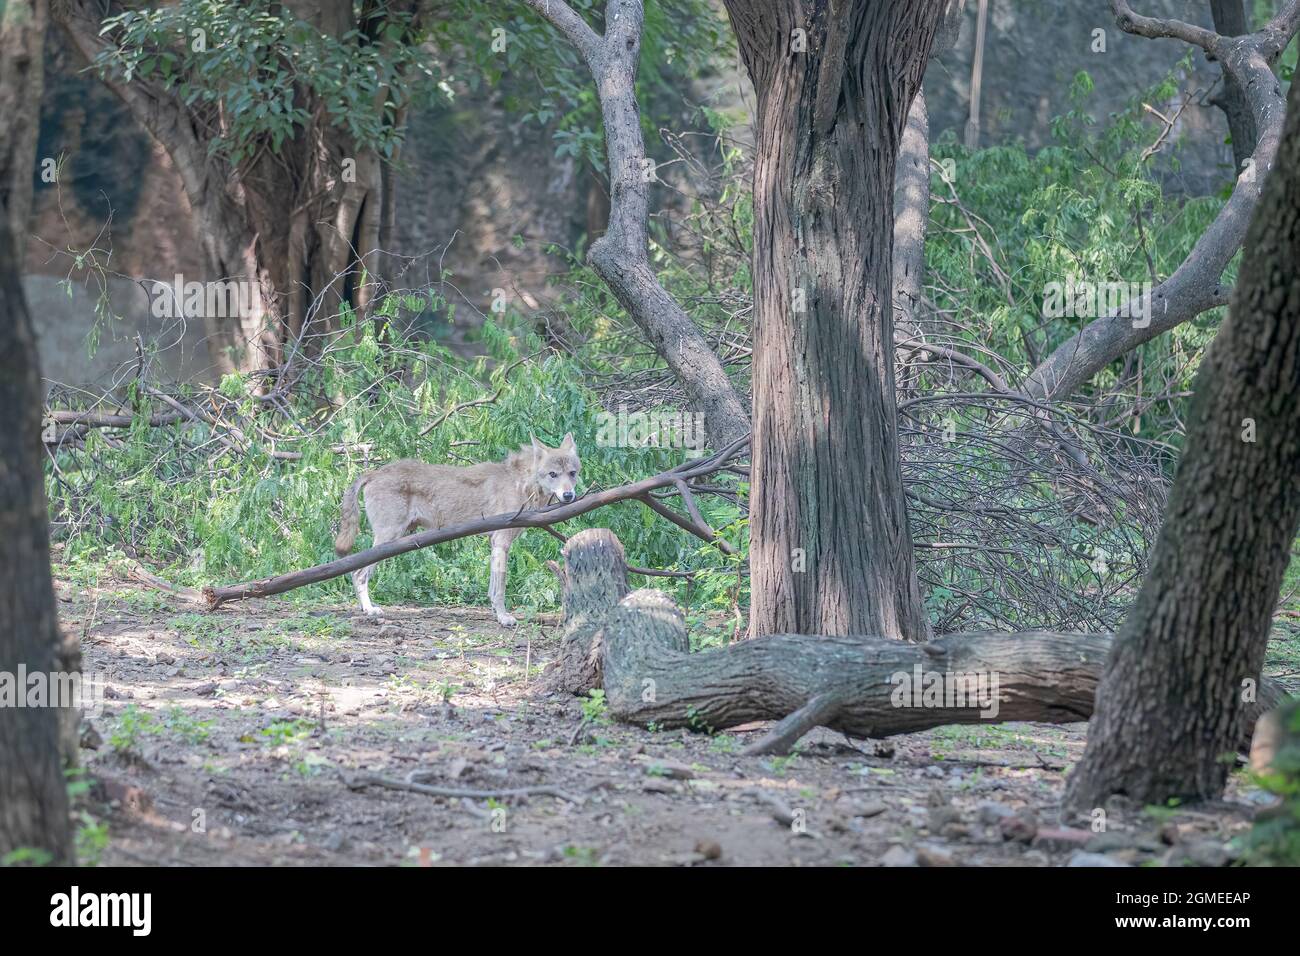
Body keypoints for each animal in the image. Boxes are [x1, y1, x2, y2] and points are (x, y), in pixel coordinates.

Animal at [333, 434, 581, 626]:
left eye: (572, 473)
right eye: (553, 474)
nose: (569, 496)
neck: (522, 483)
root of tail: (374, 473)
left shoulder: (495, 544)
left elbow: (492, 589)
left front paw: (496, 614)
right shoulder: (501, 542)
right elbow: (500, 590)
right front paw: (504, 618)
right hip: (387, 540)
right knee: (358, 574)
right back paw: (369, 610)